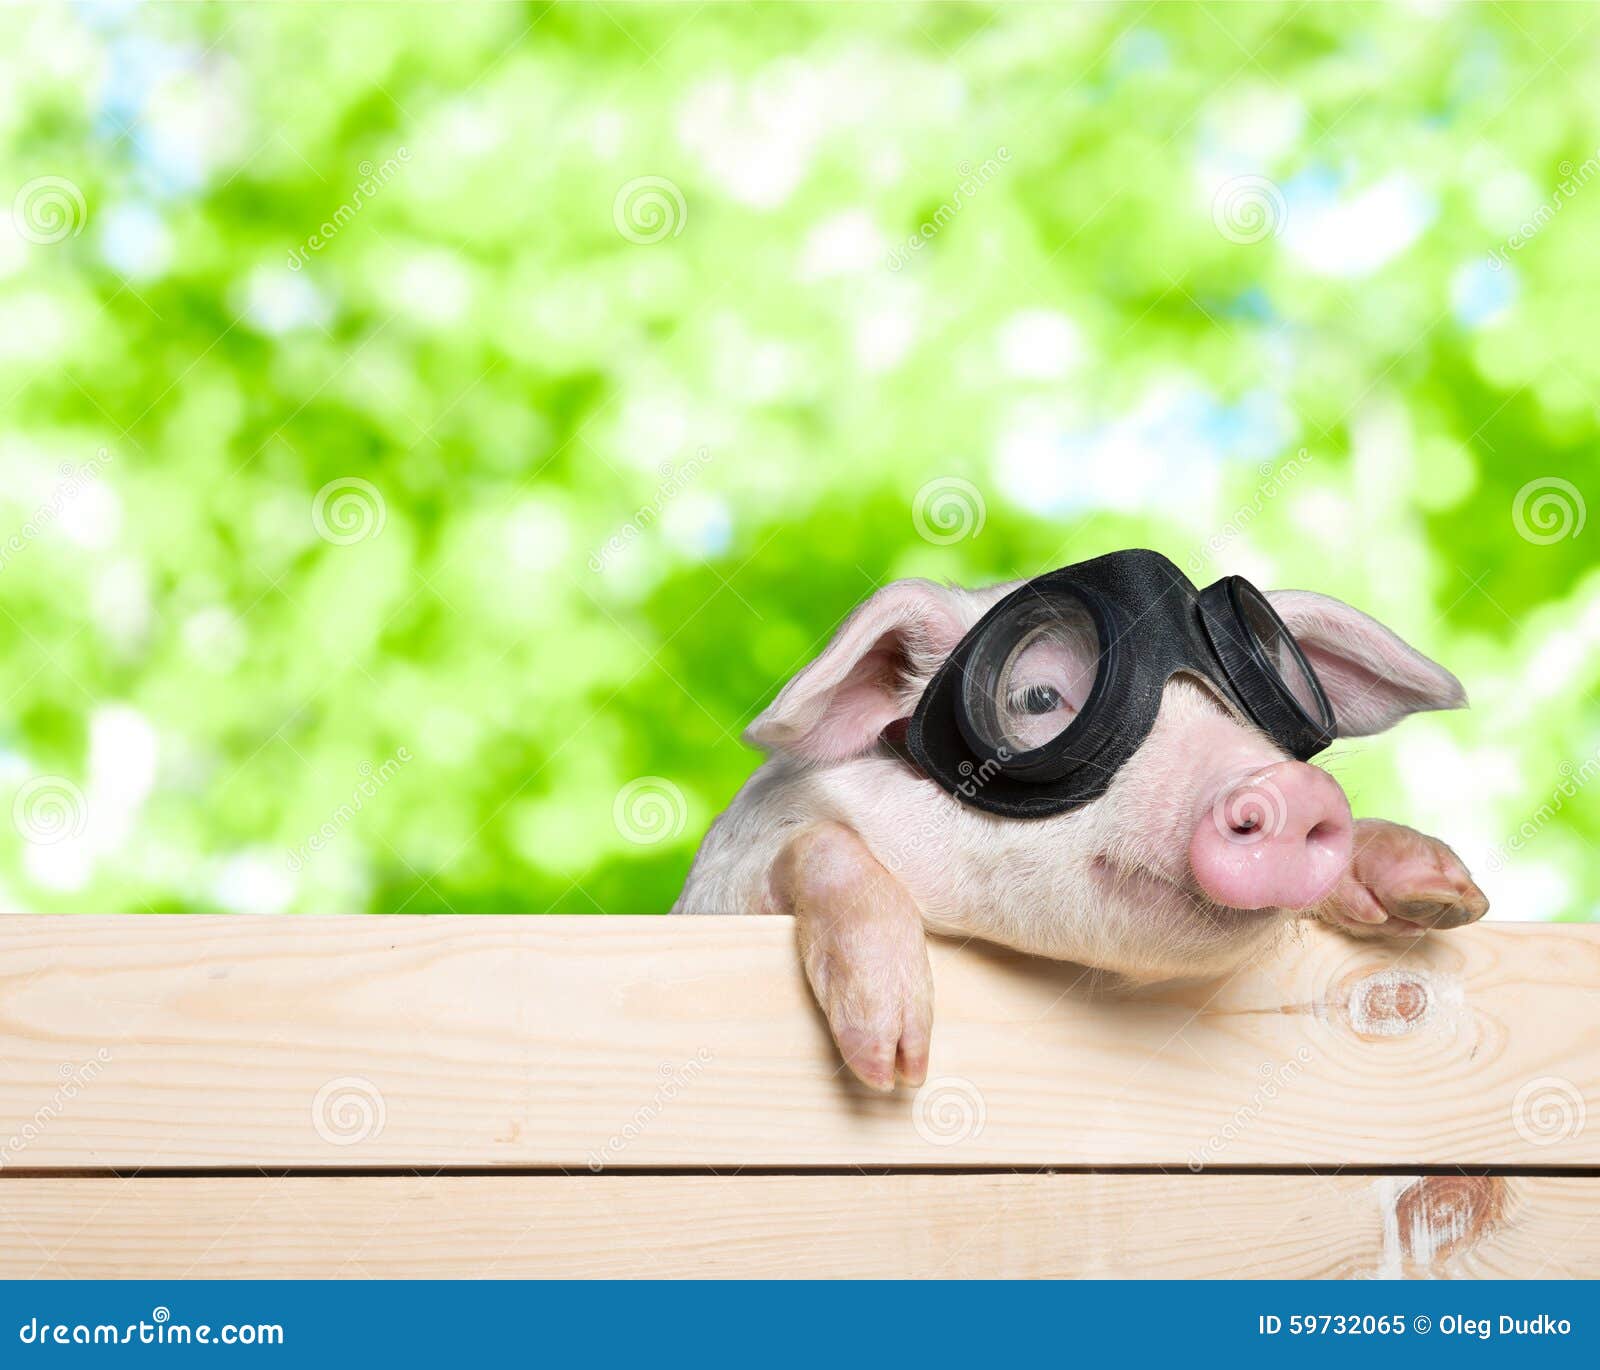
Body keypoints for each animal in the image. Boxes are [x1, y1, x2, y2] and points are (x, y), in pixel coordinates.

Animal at [670, 573, 1488, 1091]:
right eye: (1037, 696)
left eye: (1255, 705)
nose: (1292, 787)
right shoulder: (724, 884)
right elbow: (818, 846)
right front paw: (894, 1059)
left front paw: (1444, 891)